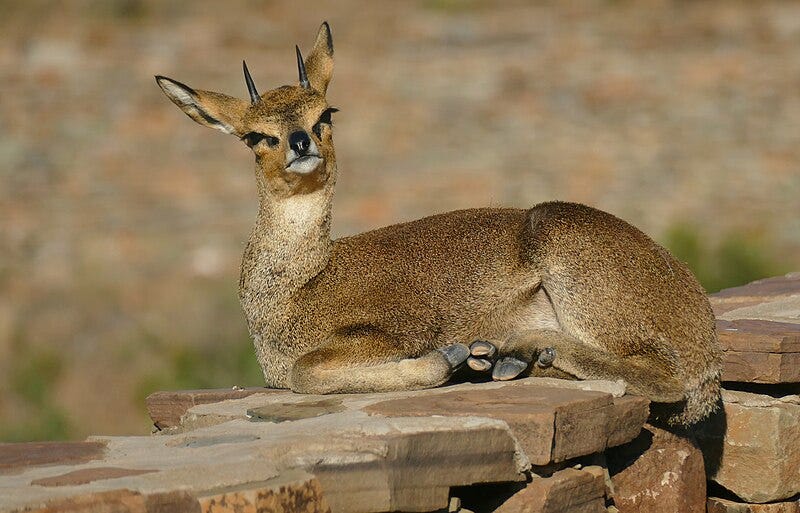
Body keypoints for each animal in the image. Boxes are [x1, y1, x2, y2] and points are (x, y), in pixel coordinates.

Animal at [156, 22, 721, 426]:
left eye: (325, 113)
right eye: (255, 136)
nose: (300, 142)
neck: (298, 285)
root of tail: (704, 332)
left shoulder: (383, 333)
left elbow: (307, 371)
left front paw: (445, 361)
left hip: (570, 252)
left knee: (665, 378)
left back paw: (508, 350)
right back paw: (506, 360)